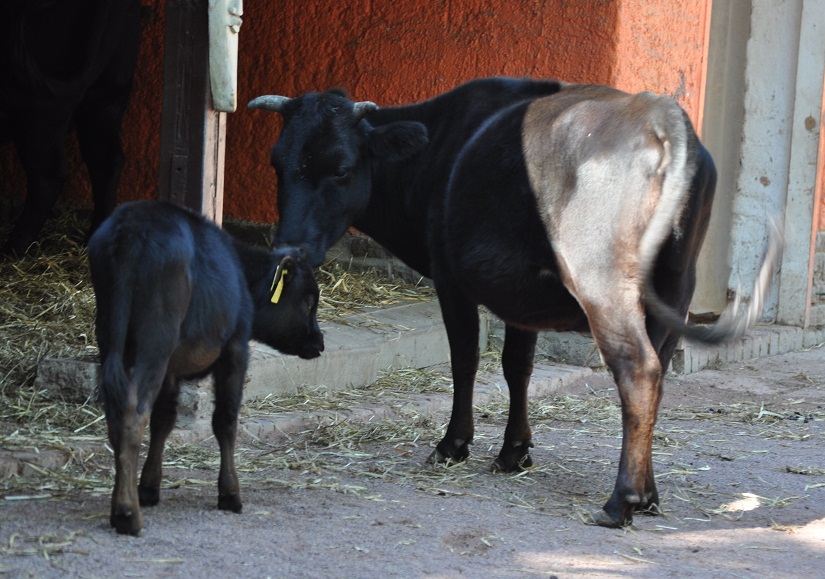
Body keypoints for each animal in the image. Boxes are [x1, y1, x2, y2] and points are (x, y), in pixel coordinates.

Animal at [87, 200, 325, 536]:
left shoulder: (172, 370)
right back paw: (127, 514)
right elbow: (225, 421)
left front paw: (149, 486)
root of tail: (132, 226)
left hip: (110, 338)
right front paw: (230, 493)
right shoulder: (235, 349)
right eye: (308, 301)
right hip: (156, 341)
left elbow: (164, 420)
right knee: (133, 416)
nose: (319, 341)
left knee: (116, 418)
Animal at [248, 77, 780, 527]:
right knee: (662, 370)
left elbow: (464, 359)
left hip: (604, 283)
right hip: (676, 286)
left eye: (340, 167)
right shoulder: (522, 296)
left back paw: (621, 500)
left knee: (639, 370)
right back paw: (648, 495)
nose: (289, 248)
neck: (436, 148)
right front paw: (514, 451)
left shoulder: (451, 277)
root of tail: (657, 110)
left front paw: (454, 443)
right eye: (275, 163)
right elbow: (517, 366)